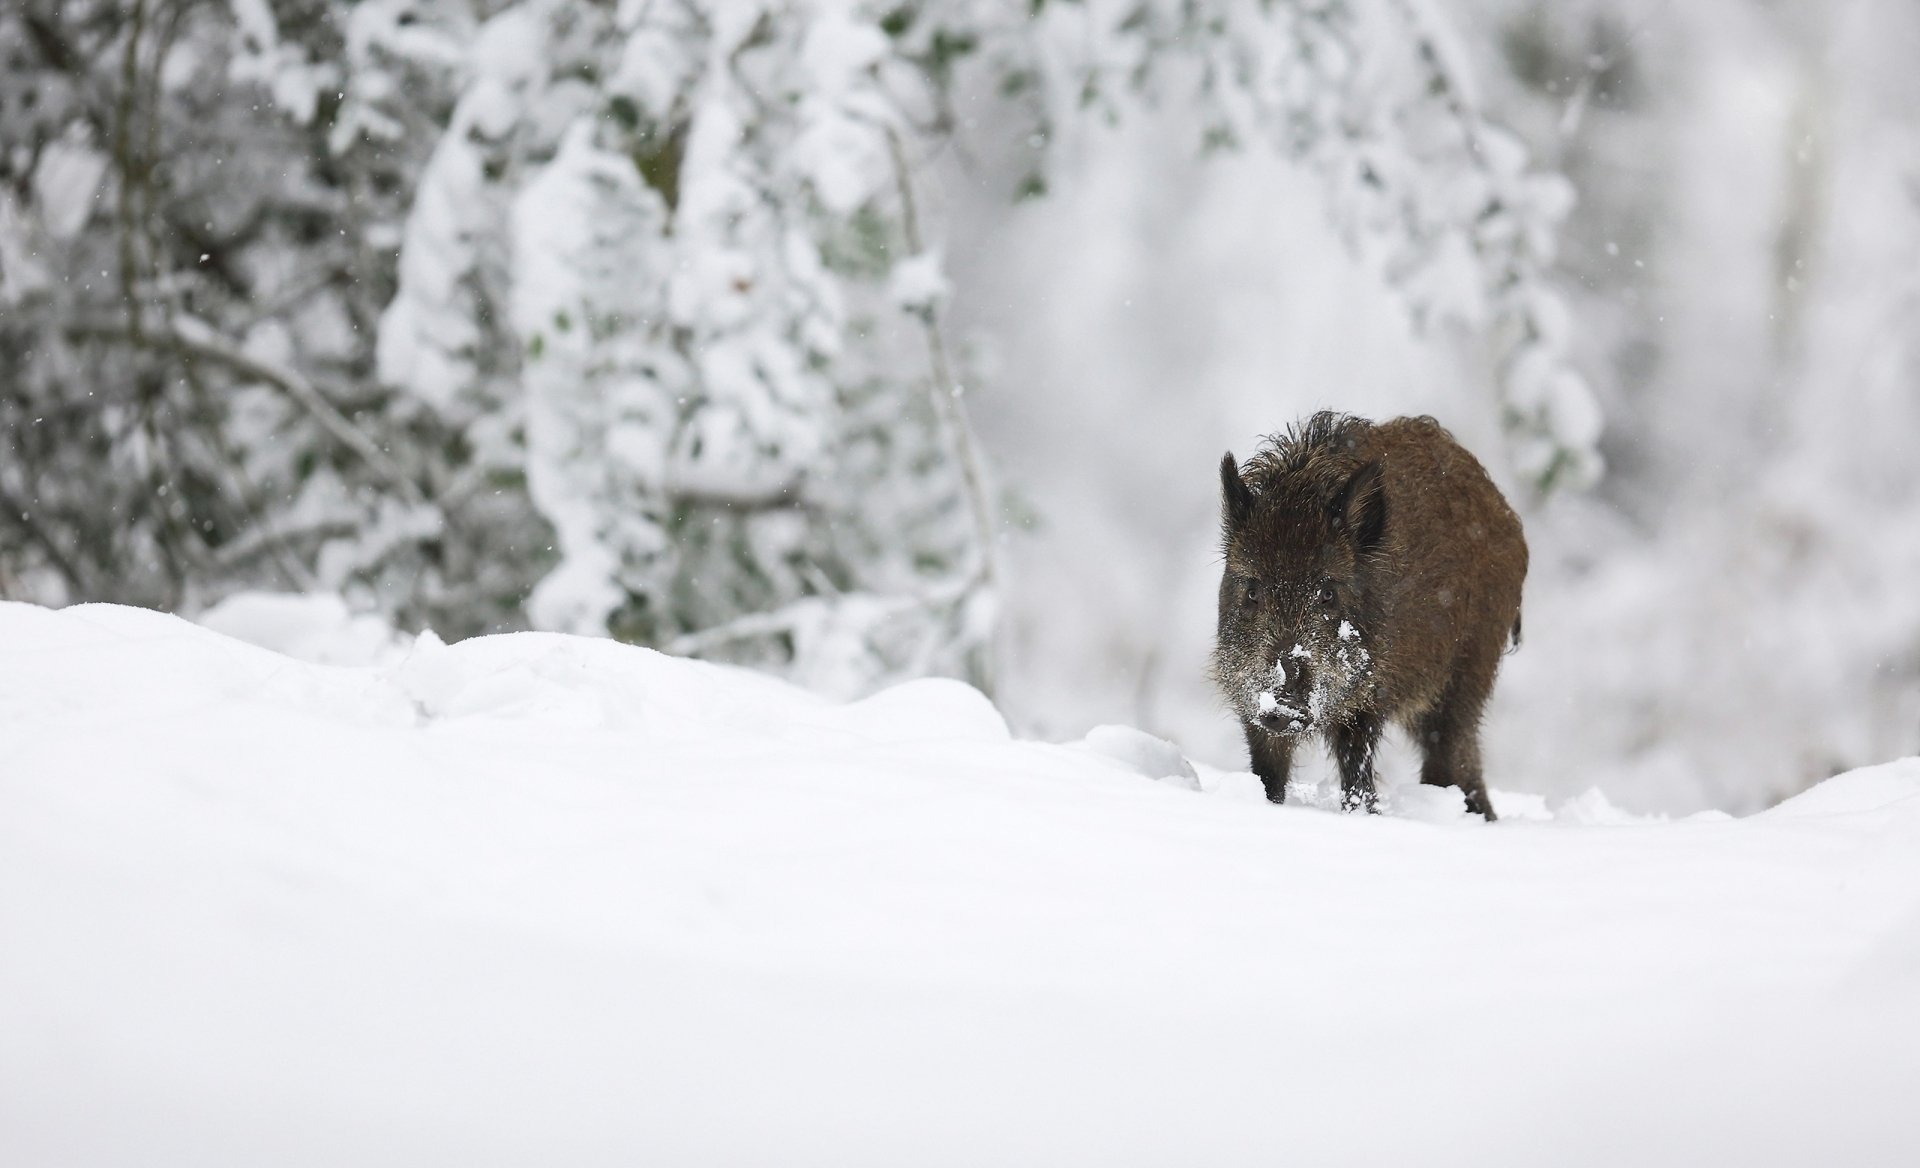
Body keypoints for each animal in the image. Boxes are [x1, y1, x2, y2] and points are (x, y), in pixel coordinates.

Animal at [1213, 412, 1526, 820]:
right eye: (1253, 591)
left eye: (1327, 593)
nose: (1281, 705)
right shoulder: (1250, 704)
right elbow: (1268, 774)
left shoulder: (1370, 698)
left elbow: (1358, 780)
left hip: (1468, 673)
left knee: (1449, 755)